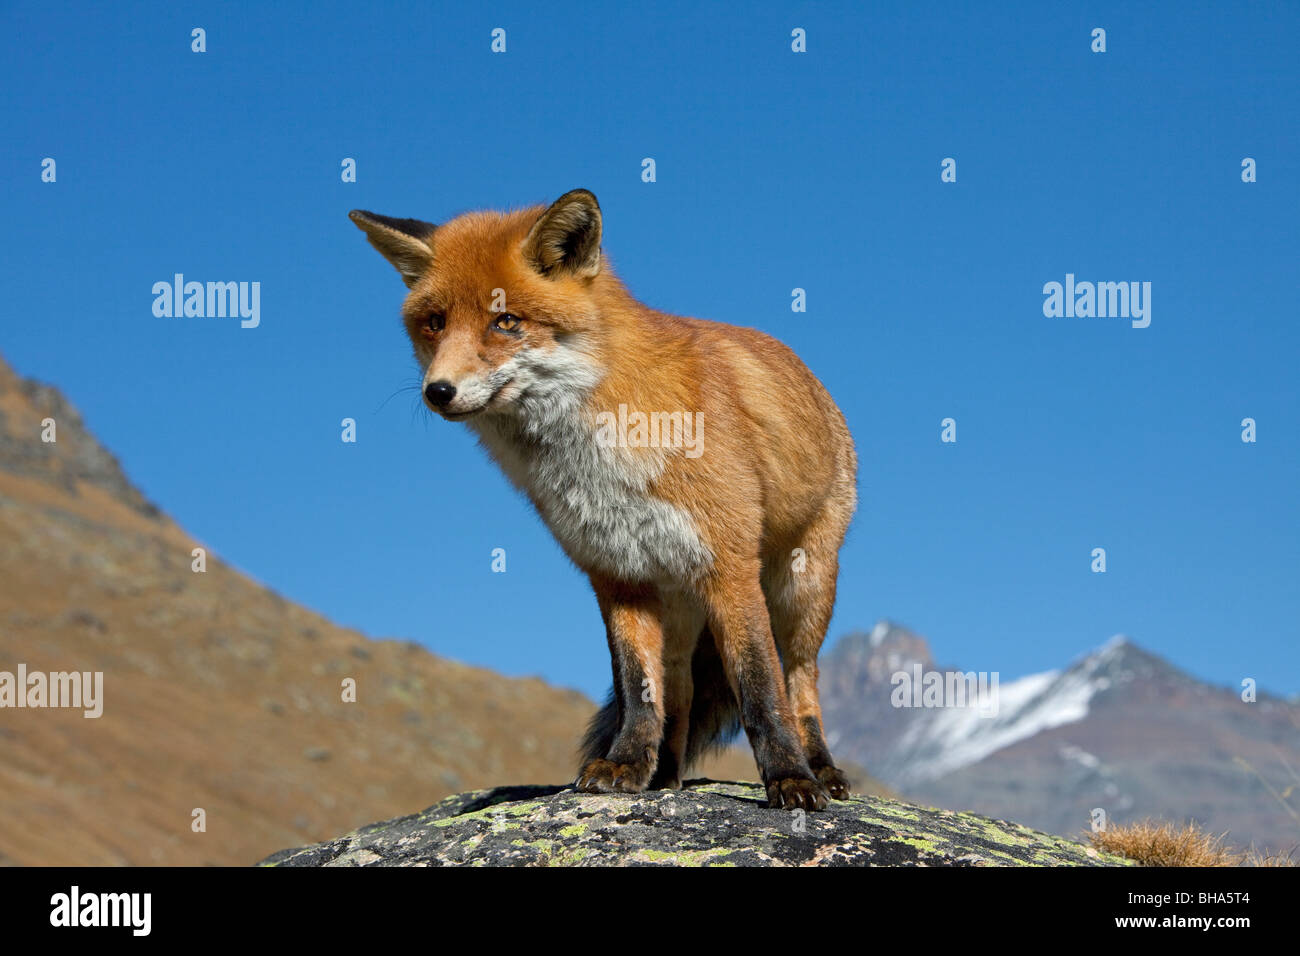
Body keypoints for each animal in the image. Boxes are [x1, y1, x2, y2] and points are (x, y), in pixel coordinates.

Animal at [349, 189, 857, 810]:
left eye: (505, 321)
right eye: (434, 324)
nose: (437, 391)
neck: (599, 457)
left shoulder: (729, 566)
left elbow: (760, 686)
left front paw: (788, 779)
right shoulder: (617, 571)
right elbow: (639, 689)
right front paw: (627, 765)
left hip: (802, 587)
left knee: (801, 679)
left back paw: (821, 769)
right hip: (678, 600)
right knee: (679, 689)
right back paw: (665, 775)